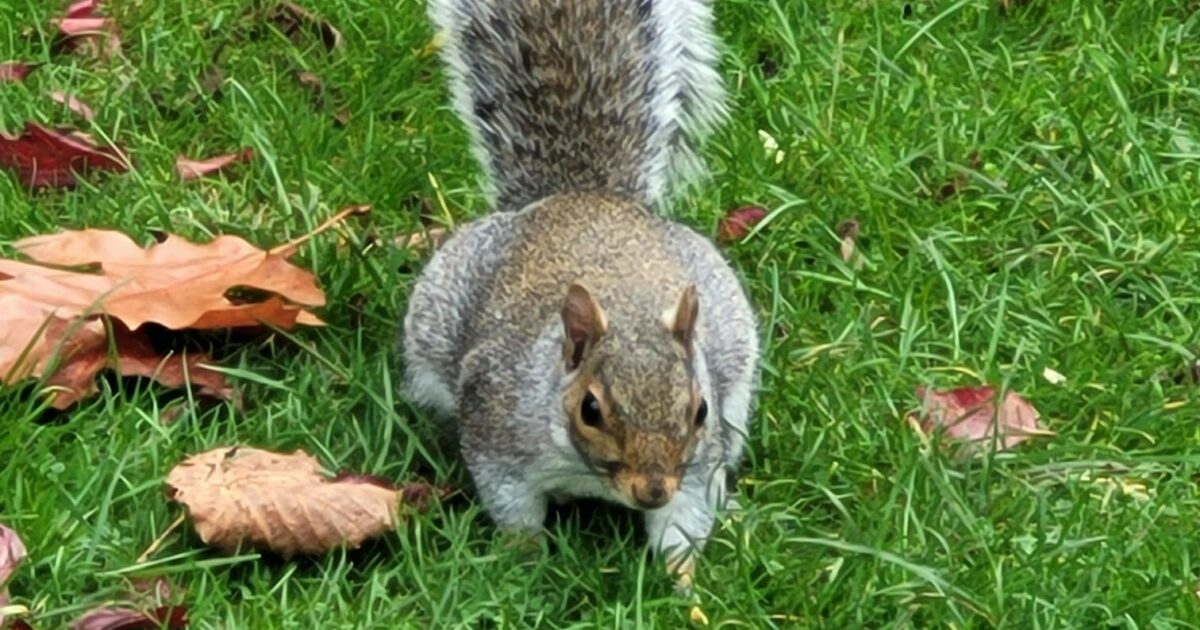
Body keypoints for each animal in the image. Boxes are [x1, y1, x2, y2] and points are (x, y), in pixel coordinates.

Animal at [402, 0, 760, 591]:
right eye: (591, 409)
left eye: (700, 409)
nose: (651, 490)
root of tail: (582, 195)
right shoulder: (497, 438)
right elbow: (513, 509)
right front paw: (523, 567)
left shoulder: (691, 469)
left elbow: (683, 521)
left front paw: (683, 582)